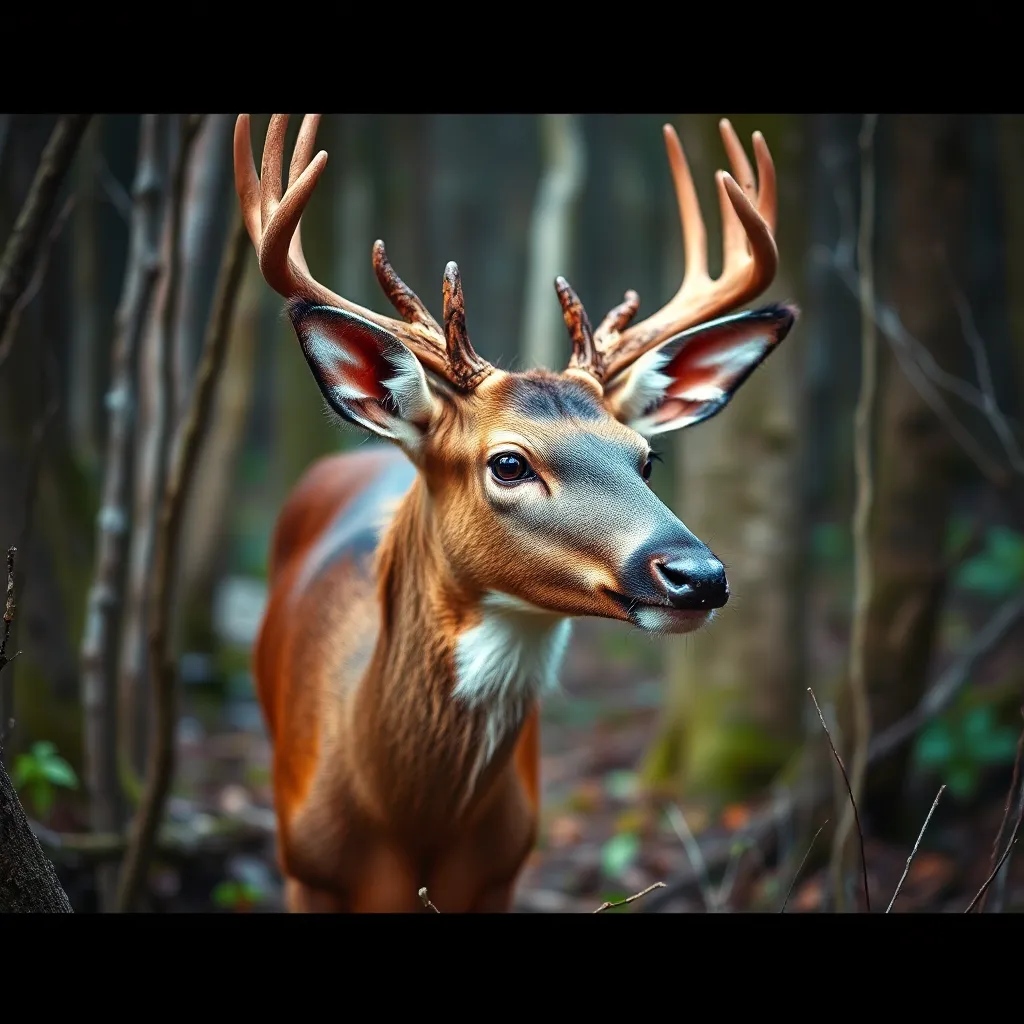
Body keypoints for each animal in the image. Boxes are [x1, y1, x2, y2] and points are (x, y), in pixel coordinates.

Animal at [235, 113, 797, 913]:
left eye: (645, 457)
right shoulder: (303, 866)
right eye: (508, 462)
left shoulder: (502, 870)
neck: (408, 819)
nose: (699, 575)